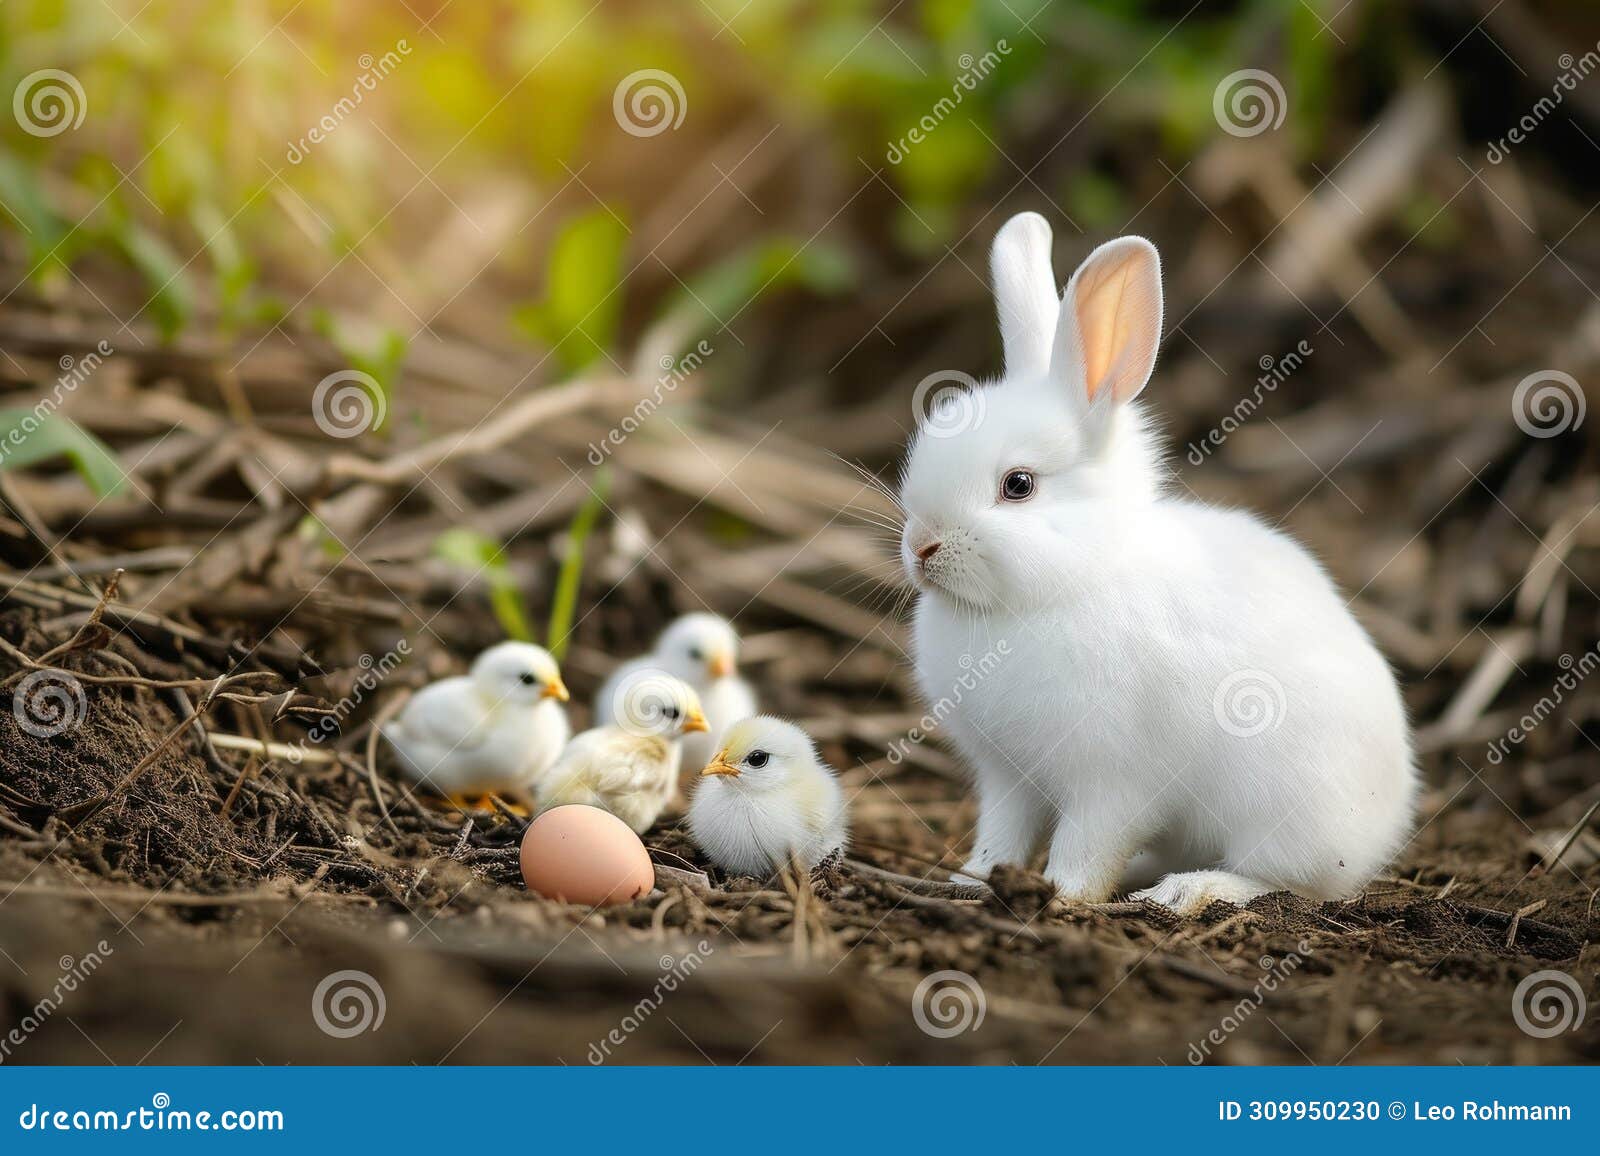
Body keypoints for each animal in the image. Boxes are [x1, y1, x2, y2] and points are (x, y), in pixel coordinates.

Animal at [896, 210, 1417, 914]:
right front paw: (973, 879)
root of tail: (1389, 823)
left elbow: (1089, 843)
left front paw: (1066, 895)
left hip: (1283, 810)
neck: (1069, 581)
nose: (922, 546)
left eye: (1018, 486)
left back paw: (1187, 890)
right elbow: (1002, 832)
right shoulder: (1007, 778)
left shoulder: (1113, 781)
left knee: (1286, 878)